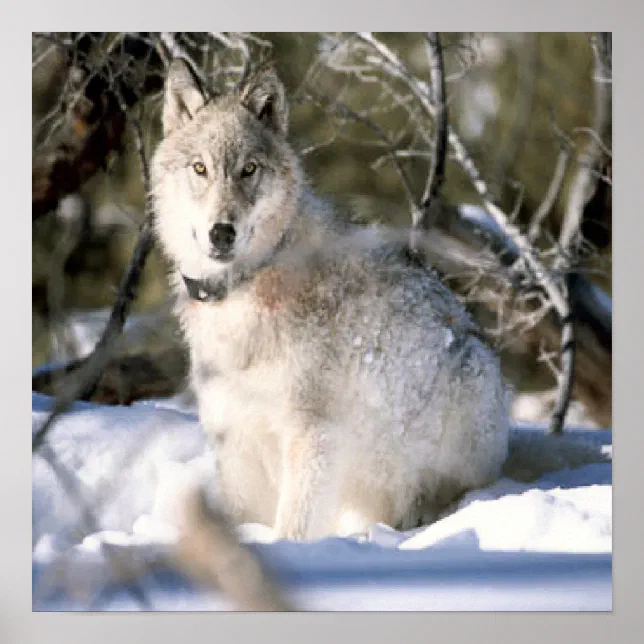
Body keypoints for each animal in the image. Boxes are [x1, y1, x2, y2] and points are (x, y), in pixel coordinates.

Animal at [150, 59, 602, 540]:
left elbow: (294, 526)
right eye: (200, 168)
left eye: (248, 169)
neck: (244, 288)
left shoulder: (313, 434)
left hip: (465, 384)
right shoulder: (235, 440)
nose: (222, 232)